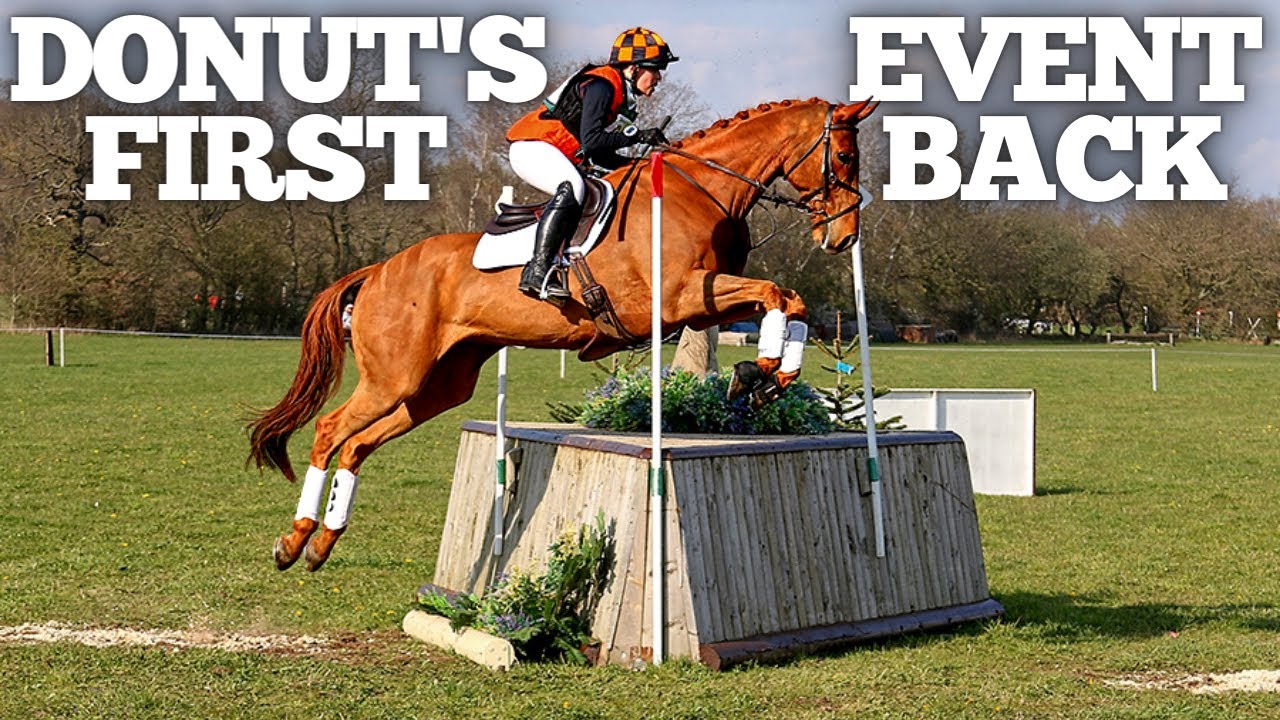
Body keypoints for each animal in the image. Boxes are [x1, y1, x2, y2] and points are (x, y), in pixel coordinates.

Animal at [248, 97, 878, 571]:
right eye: (845, 155)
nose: (844, 237)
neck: (700, 189)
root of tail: (378, 270)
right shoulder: (679, 297)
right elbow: (774, 292)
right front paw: (762, 372)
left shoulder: (697, 310)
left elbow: (787, 299)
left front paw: (766, 375)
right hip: (394, 376)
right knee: (330, 431)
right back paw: (294, 540)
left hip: (439, 386)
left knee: (357, 445)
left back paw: (323, 543)